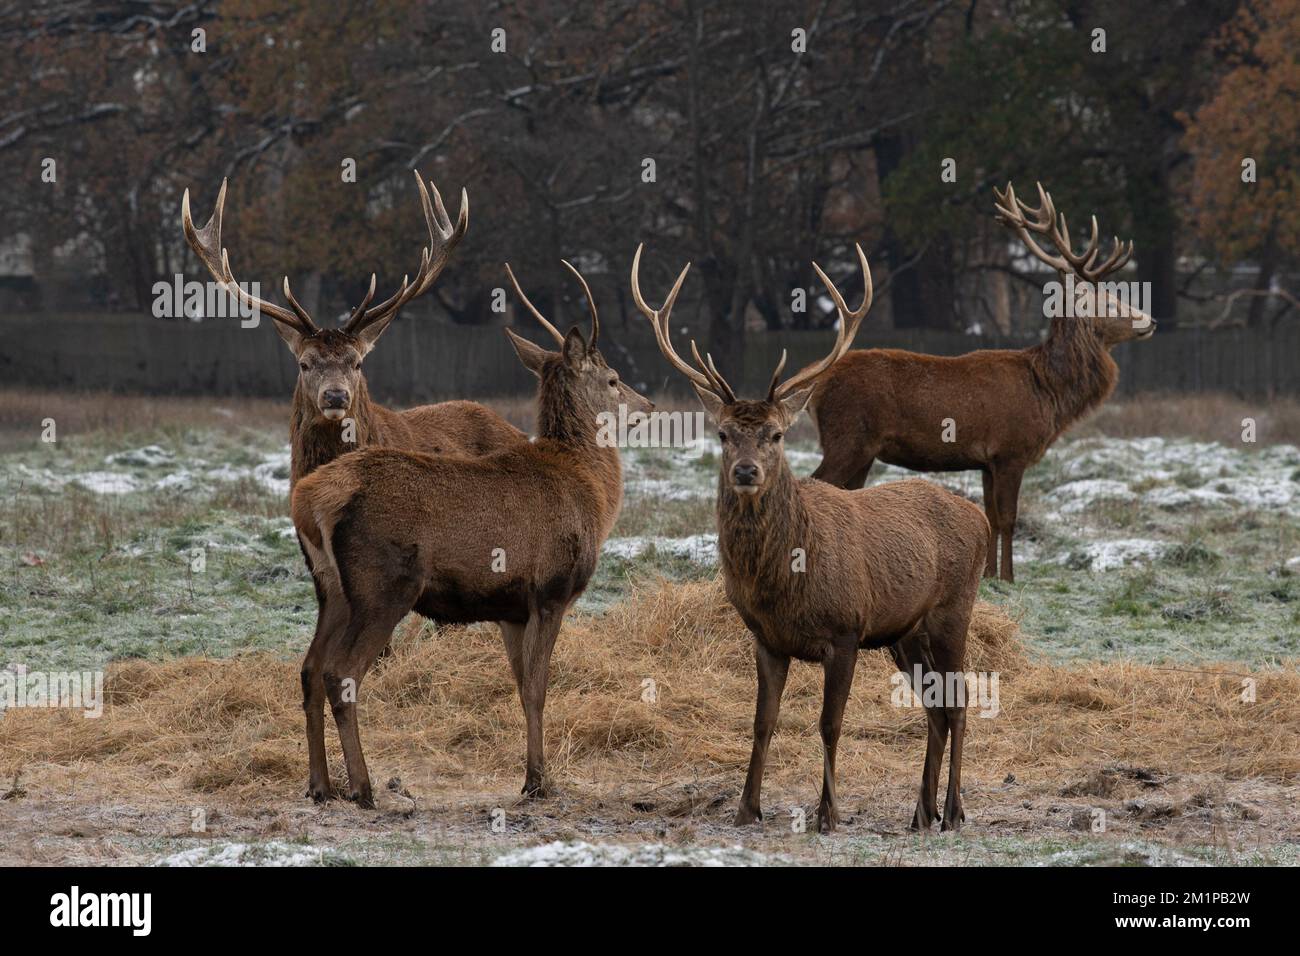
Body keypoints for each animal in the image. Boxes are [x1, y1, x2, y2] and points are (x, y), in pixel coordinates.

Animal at [290, 260, 653, 807]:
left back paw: (320, 785)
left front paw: (532, 775)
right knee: (340, 672)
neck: (588, 491)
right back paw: (363, 787)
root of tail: (311, 498)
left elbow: (522, 687)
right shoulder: (551, 589)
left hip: (329, 587)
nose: (647, 404)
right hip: (382, 585)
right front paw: (539, 781)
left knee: (310, 669)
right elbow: (539, 688)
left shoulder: (510, 608)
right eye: (613, 378)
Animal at [633, 242, 989, 834]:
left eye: (777, 434)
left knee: (959, 702)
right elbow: (762, 721)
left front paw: (828, 813)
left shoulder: (845, 630)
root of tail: (979, 518)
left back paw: (955, 812)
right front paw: (746, 808)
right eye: (723, 434)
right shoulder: (766, 638)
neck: (787, 579)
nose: (747, 471)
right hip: (904, 632)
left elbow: (829, 724)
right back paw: (921, 812)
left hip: (952, 609)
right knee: (935, 709)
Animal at [808, 183, 1156, 582]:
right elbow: (1008, 518)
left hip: (862, 450)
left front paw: (988, 574)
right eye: (1109, 302)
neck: (1047, 391)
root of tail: (817, 388)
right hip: (846, 436)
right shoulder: (1011, 450)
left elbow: (990, 516)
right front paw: (1009, 576)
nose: (1150, 320)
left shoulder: (987, 461)